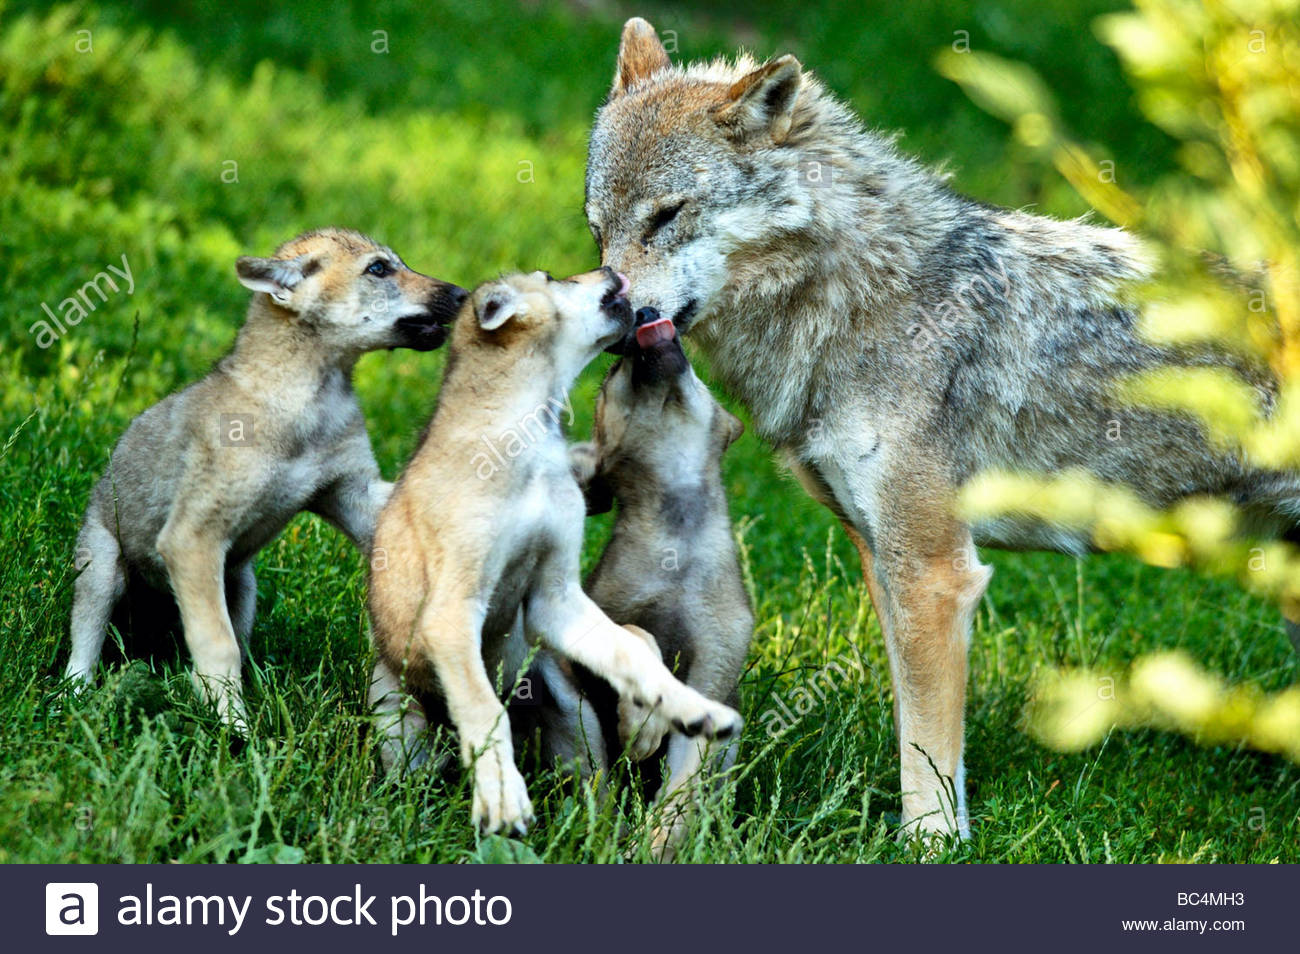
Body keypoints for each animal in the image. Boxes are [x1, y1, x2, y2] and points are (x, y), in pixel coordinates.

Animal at [66, 227, 466, 729]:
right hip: (103, 571)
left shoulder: (352, 492)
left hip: (242, 584)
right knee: (85, 643)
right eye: (379, 268)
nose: (464, 294)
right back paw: (72, 698)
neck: (310, 403)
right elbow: (217, 644)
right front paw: (234, 728)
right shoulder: (191, 539)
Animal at [366, 269, 741, 835]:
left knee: (594, 789)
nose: (611, 273)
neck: (525, 448)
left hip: (573, 718)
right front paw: (502, 795)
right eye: (551, 278)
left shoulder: (555, 596)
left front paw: (690, 710)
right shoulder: (453, 610)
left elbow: (631, 648)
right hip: (398, 720)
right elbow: (483, 706)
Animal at [584, 18, 1298, 839]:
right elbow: (921, 738)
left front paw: (928, 843)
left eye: (667, 216)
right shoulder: (883, 562)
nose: (613, 321)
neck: (859, 299)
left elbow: (925, 749)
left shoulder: (934, 574)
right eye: (599, 232)